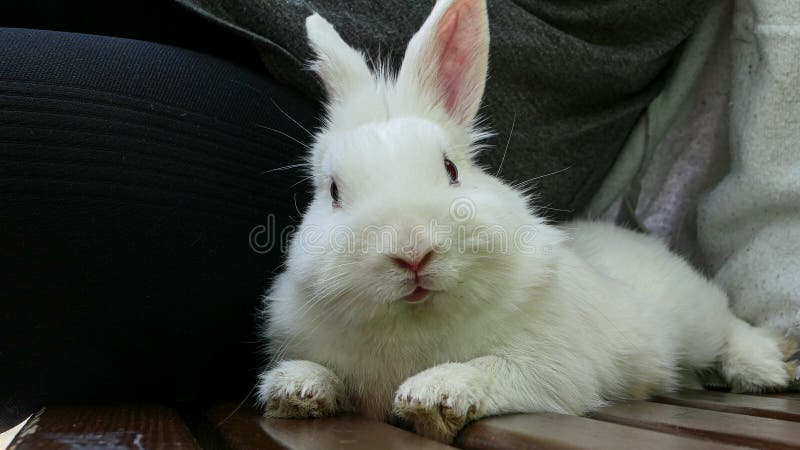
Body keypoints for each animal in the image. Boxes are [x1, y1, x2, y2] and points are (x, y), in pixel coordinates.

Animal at [255, 0, 798, 443]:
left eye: (451, 169)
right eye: (333, 192)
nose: (411, 253)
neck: (416, 318)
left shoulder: (553, 367)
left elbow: (491, 370)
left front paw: (433, 393)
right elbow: (322, 374)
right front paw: (295, 387)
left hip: (694, 317)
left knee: (728, 325)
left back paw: (765, 367)